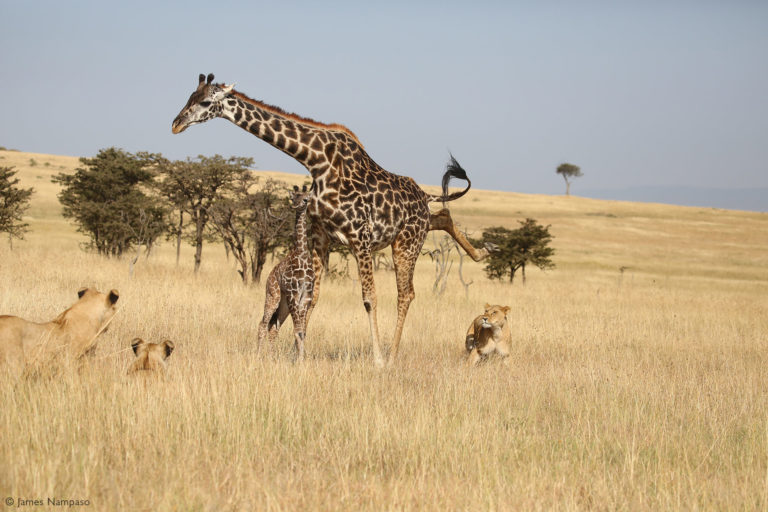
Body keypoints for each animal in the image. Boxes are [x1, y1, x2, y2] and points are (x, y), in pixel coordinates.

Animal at [256, 185, 314, 360]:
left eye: (306, 197)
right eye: (293, 196)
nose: (299, 203)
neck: (302, 254)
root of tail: (269, 276)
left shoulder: (306, 296)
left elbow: (302, 332)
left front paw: (302, 359)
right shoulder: (293, 293)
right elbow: (297, 331)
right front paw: (300, 360)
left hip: (283, 305)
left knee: (273, 328)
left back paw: (271, 357)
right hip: (273, 297)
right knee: (262, 324)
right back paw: (257, 356)